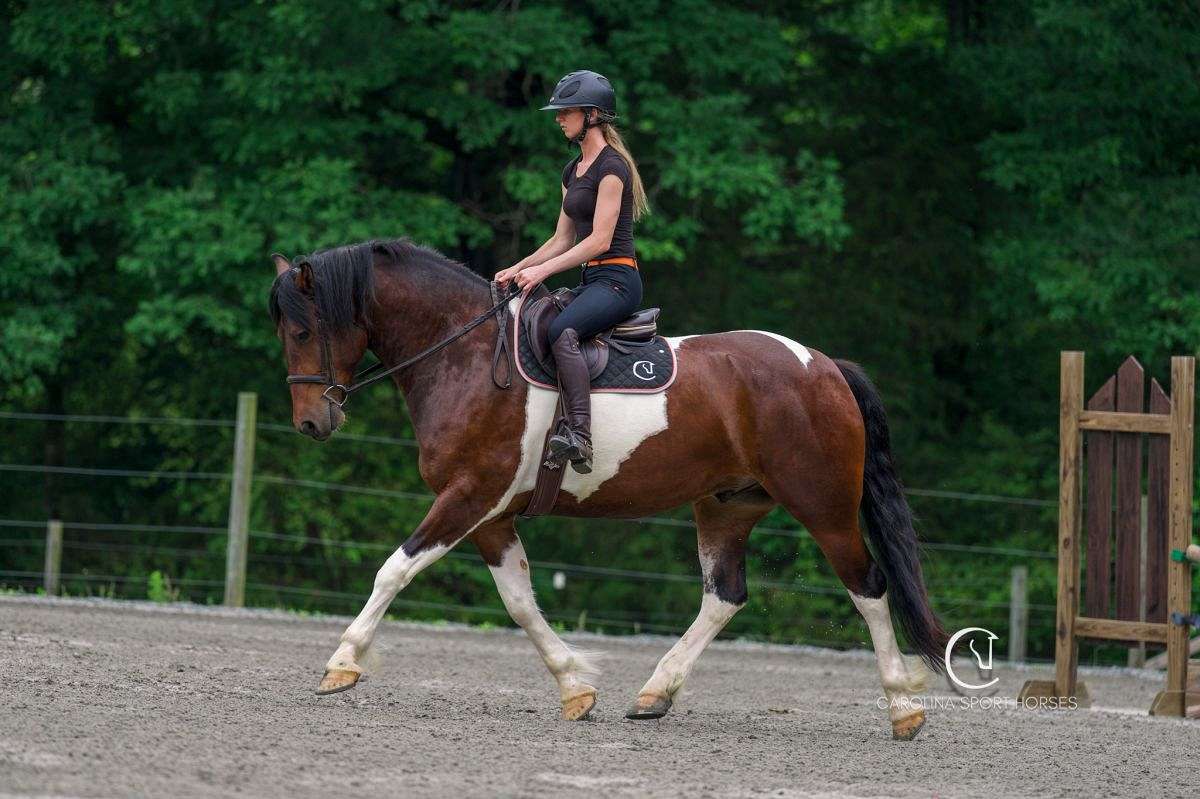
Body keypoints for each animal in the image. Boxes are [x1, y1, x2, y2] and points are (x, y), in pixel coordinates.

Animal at [269, 238, 947, 741]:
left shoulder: (468, 497)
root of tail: (826, 366)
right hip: (725, 507)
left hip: (822, 506)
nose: (312, 423)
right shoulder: (490, 516)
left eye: (302, 333)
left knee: (869, 588)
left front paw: (342, 664)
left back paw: (902, 707)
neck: (466, 354)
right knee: (724, 595)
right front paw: (575, 686)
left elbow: (394, 570)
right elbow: (519, 601)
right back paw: (654, 694)